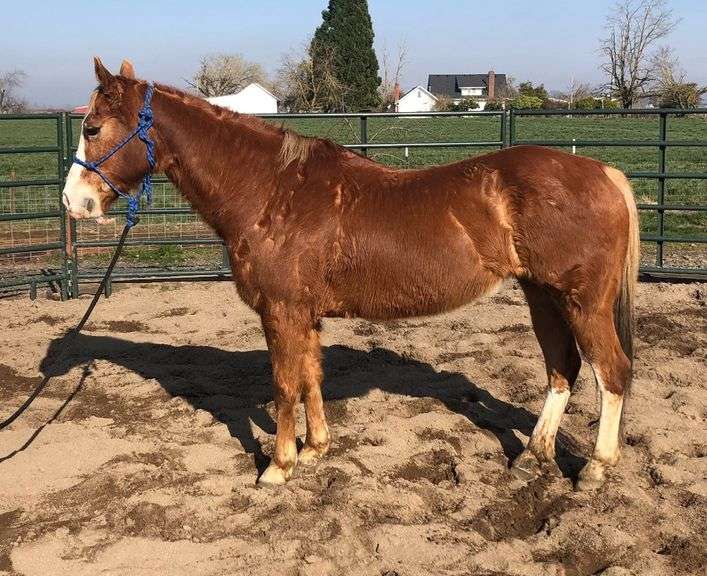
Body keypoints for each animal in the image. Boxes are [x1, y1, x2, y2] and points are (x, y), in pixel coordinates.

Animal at [62, 58, 639, 490]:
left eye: (92, 128)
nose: (73, 201)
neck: (271, 190)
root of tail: (604, 172)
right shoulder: (304, 314)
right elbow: (311, 376)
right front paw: (316, 450)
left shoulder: (282, 311)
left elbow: (284, 383)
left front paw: (279, 467)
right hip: (543, 296)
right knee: (562, 369)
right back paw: (532, 458)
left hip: (582, 302)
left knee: (611, 372)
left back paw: (594, 469)